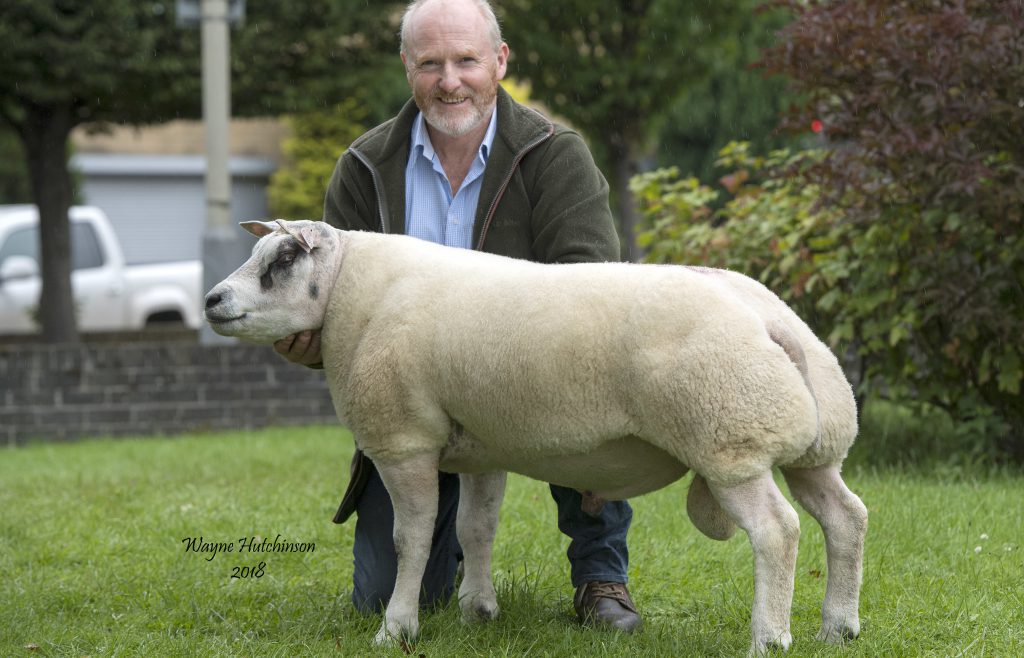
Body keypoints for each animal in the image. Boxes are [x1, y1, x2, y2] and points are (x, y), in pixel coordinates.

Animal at [203, 219, 868, 655]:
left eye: (283, 261)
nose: (212, 300)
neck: (350, 293)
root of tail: (771, 319)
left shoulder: (403, 440)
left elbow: (409, 539)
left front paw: (397, 627)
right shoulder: (481, 448)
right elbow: (475, 529)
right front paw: (478, 611)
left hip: (731, 438)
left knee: (779, 532)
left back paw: (771, 638)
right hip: (812, 445)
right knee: (847, 517)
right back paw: (839, 626)